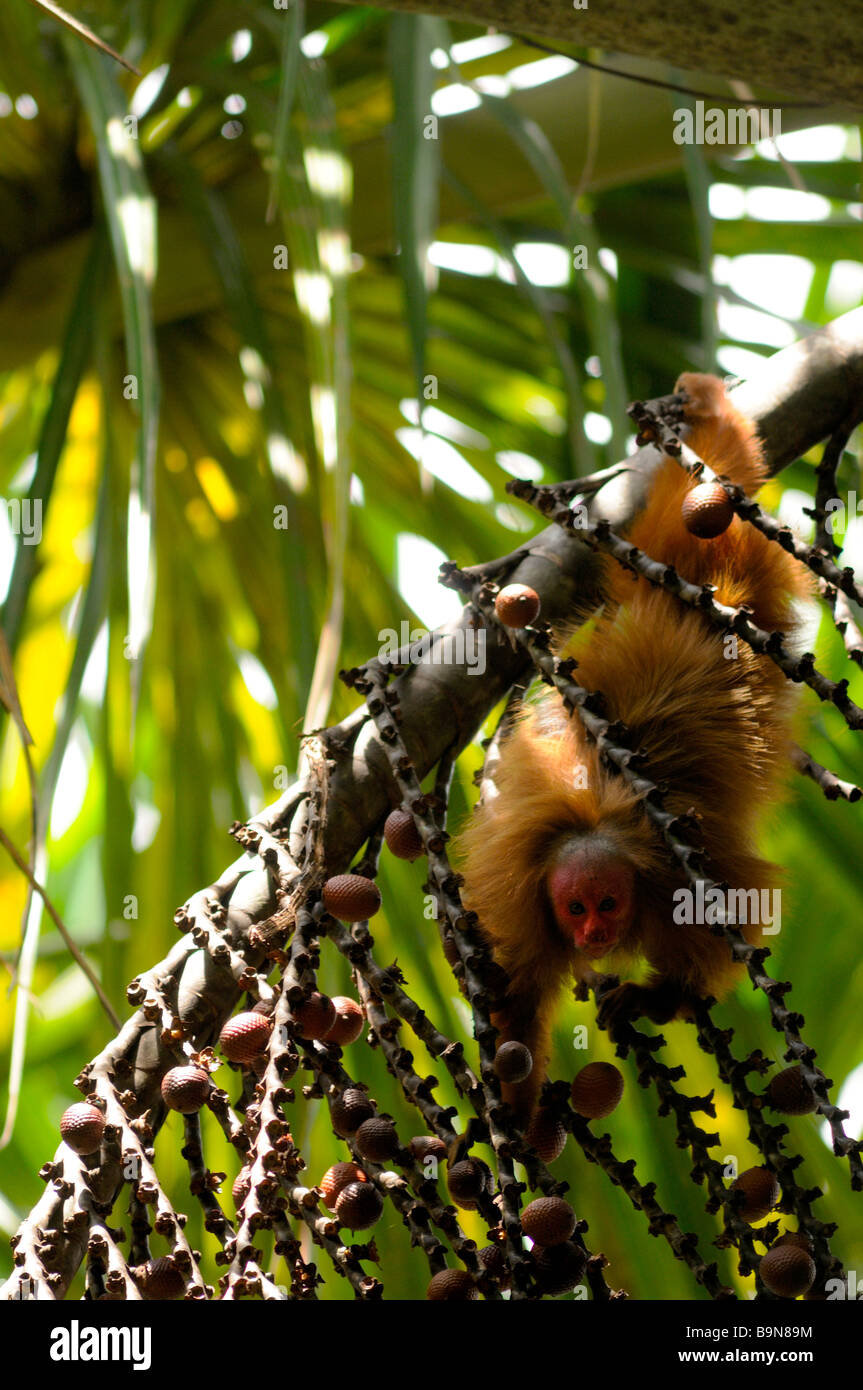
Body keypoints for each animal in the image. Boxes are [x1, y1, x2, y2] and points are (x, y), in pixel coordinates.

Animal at [459, 374, 810, 1121]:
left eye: (606, 905)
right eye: (576, 909)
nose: (593, 935)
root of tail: (687, 598)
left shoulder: (685, 875)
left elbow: (727, 930)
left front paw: (662, 998)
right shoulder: (521, 908)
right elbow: (517, 1003)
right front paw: (517, 1119)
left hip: (721, 561)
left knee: (717, 478)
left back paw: (706, 412)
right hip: (678, 560)